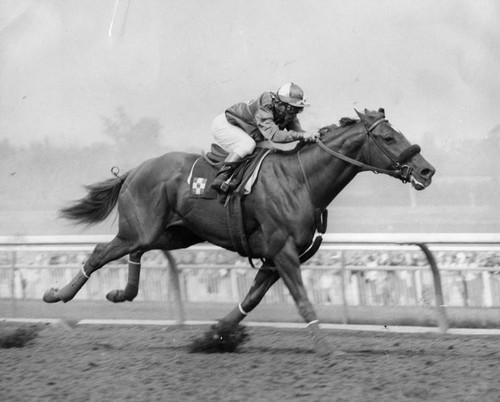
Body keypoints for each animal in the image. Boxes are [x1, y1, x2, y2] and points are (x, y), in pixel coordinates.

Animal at [43, 108, 435, 355]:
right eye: (387, 136)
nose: (426, 170)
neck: (301, 181)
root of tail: (136, 169)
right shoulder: (283, 251)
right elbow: (302, 299)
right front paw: (327, 348)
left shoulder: (275, 257)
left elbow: (250, 300)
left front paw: (214, 333)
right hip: (141, 228)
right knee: (100, 252)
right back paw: (57, 294)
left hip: (175, 233)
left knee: (136, 251)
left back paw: (120, 293)